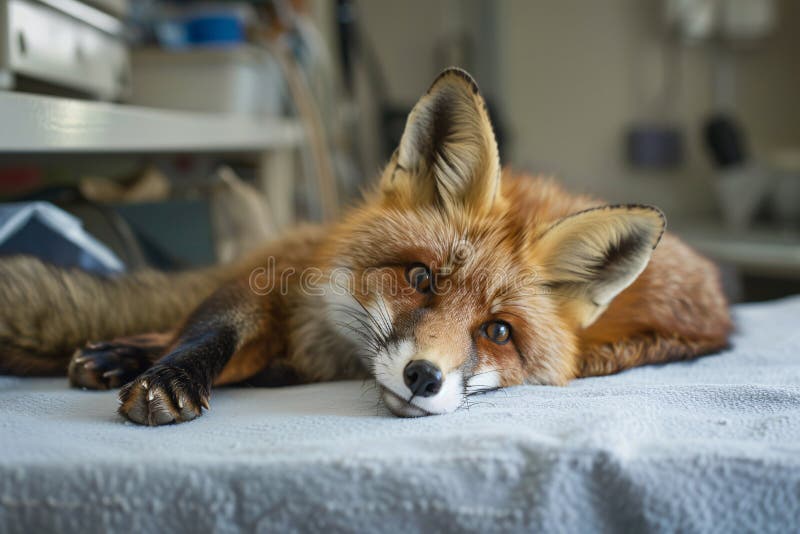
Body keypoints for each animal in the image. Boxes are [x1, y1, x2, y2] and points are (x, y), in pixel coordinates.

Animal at [0, 68, 731, 425]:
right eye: (422, 279)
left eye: (498, 331)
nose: (424, 378)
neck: (334, 344)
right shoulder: (278, 280)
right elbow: (212, 331)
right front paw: (168, 376)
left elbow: (237, 350)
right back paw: (119, 353)